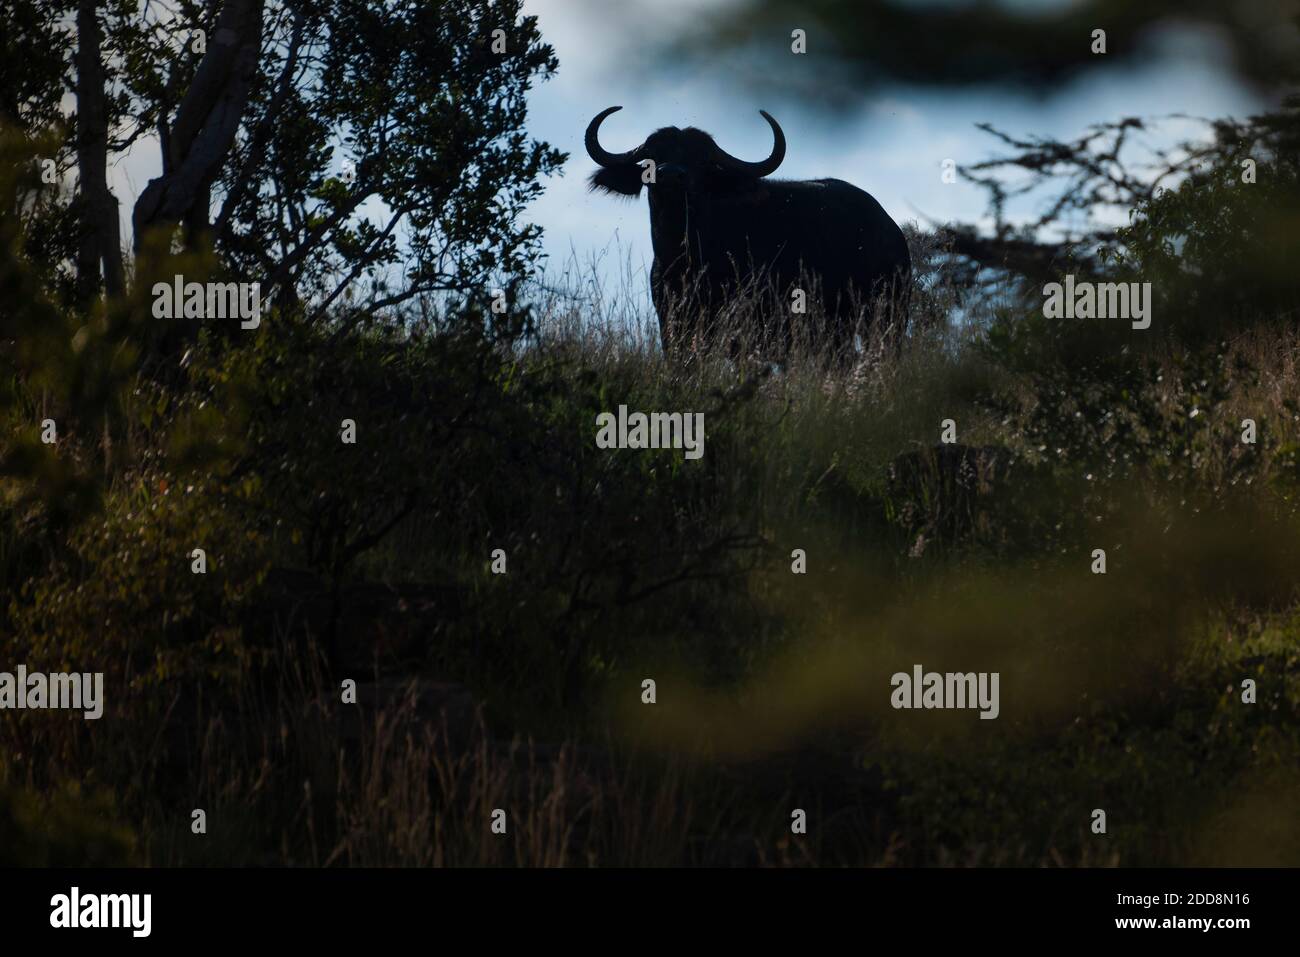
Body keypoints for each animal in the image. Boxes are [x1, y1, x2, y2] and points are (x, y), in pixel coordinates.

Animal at [585, 106, 911, 359]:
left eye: (702, 161)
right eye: (651, 157)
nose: (670, 175)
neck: (685, 255)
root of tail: (891, 231)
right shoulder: (672, 325)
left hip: (885, 319)